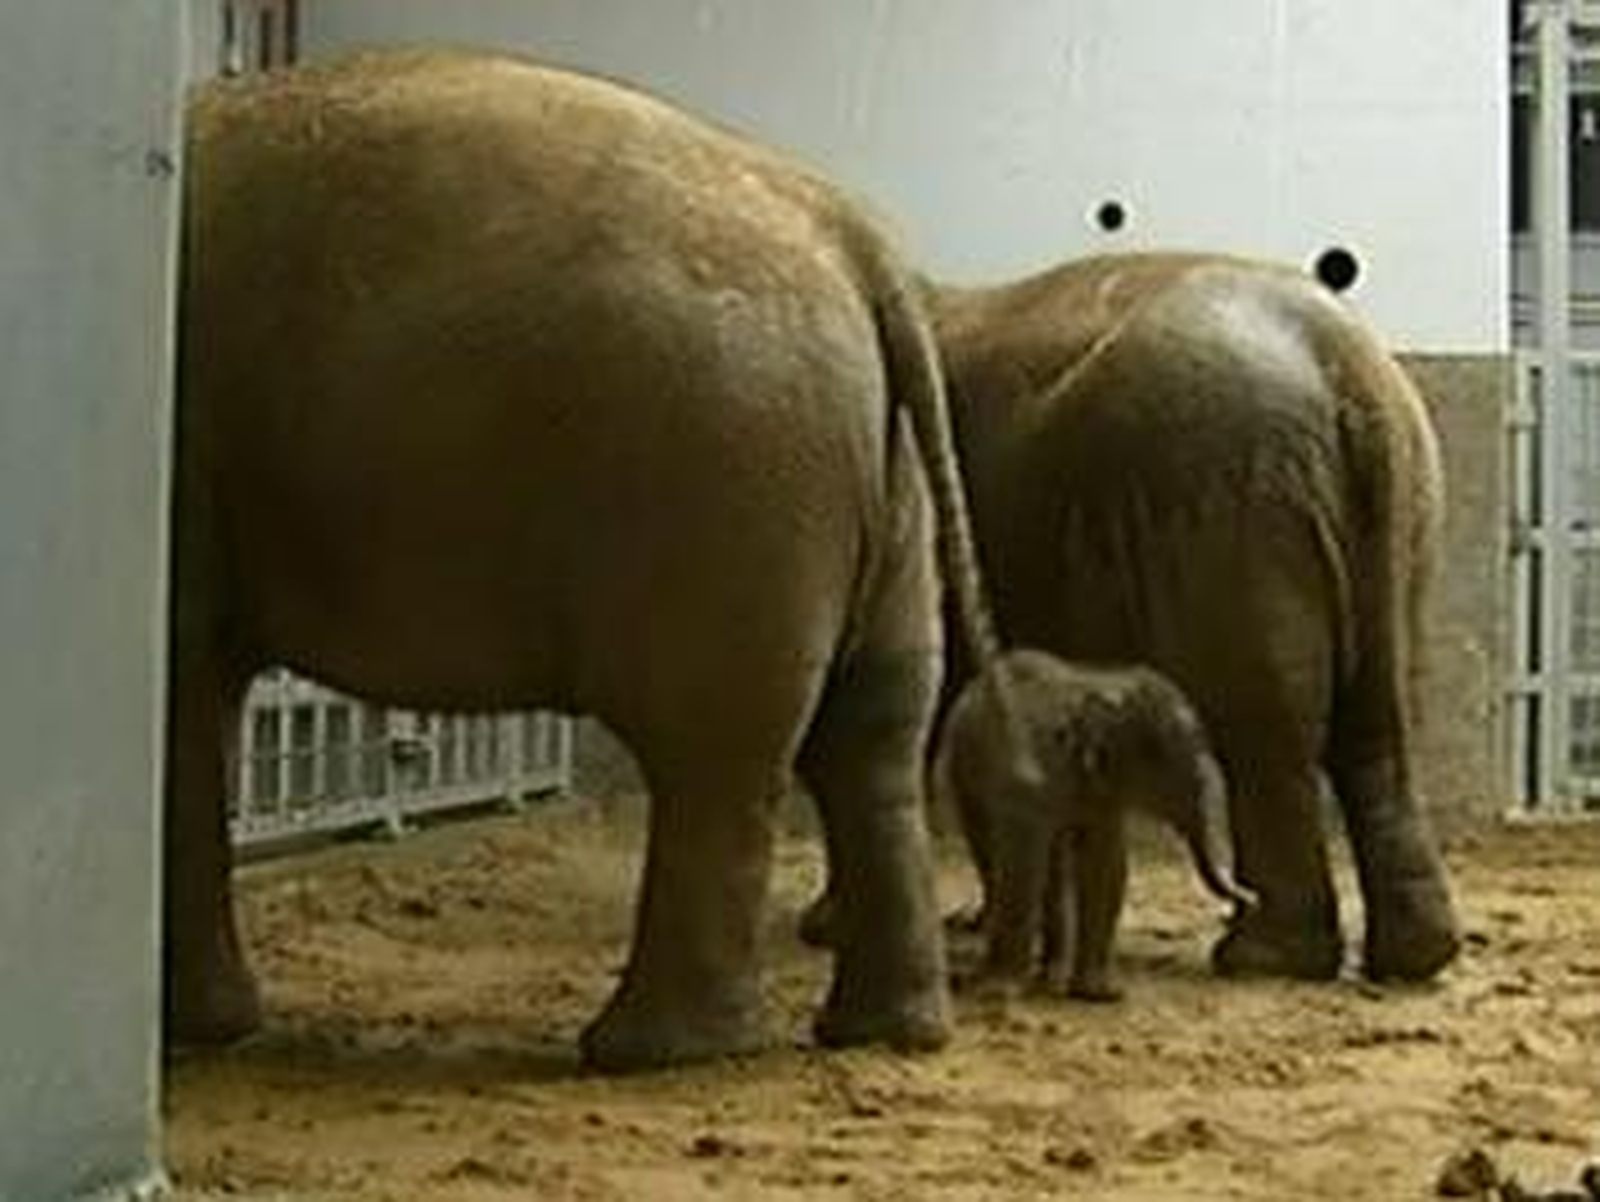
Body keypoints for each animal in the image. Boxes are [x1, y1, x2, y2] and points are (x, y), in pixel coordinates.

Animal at [167, 48, 1022, 1072]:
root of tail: (855, 242)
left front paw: (189, 1041)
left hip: (728, 474)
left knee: (714, 751)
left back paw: (647, 1050)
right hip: (884, 496)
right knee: (872, 736)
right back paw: (881, 1034)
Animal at [936, 648, 1254, 1001]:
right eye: (1169, 763)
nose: (1250, 898)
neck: (1100, 685)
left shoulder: (1104, 787)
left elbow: (1105, 862)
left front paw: (1101, 994)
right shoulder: (1024, 775)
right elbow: (1025, 862)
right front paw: (999, 992)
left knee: (1054, 862)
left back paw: (1052, 975)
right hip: (960, 773)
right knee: (994, 853)